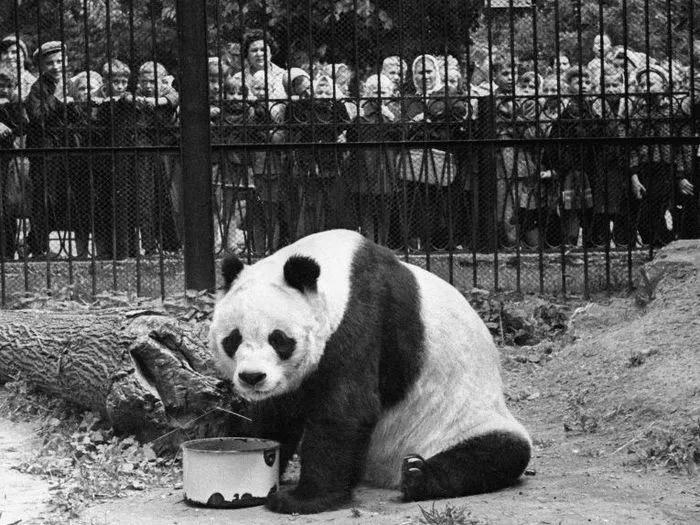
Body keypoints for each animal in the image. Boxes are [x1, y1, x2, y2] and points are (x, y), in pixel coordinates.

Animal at [209, 229, 531, 514]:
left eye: (279, 340)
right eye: (232, 339)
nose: (252, 377)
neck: (335, 266)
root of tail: (383, 476)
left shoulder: (364, 316)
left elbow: (347, 409)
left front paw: (301, 499)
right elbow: (278, 413)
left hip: (459, 420)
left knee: (497, 453)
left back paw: (417, 475)